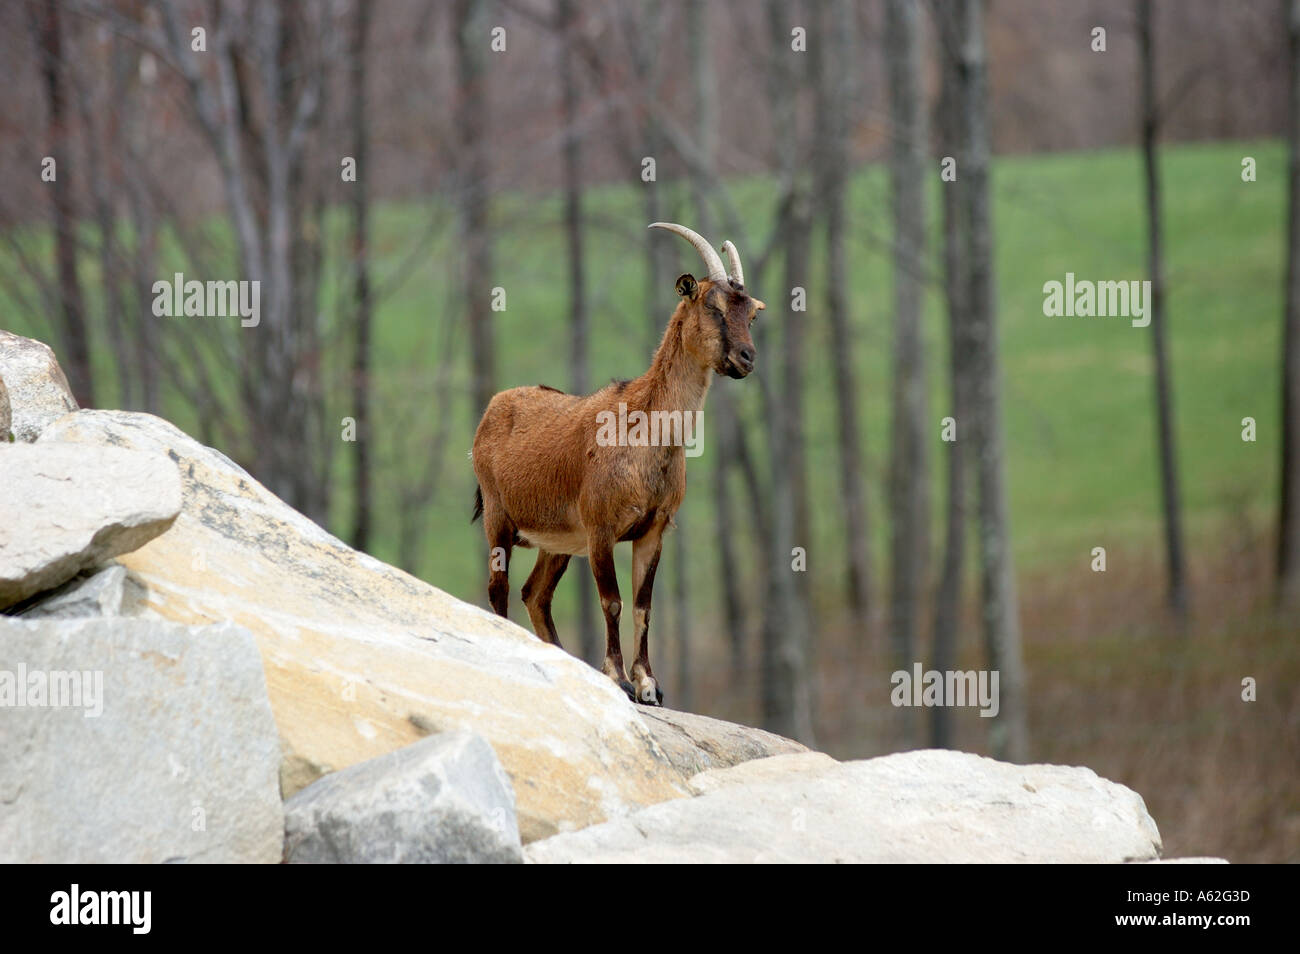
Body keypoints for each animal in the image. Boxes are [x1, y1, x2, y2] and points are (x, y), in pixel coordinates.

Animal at [471, 223, 764, 706]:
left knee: (536, 594)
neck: (647, 430)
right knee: (500, 590)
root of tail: (494, 408)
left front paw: (649, 685)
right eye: (711, 304)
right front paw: (619, 678)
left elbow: (644, 605)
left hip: (558, 541)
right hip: (499, 516)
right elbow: (612, 600)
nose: (745, 359)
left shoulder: (652, 529)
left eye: (753, 313)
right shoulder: (601, 528)